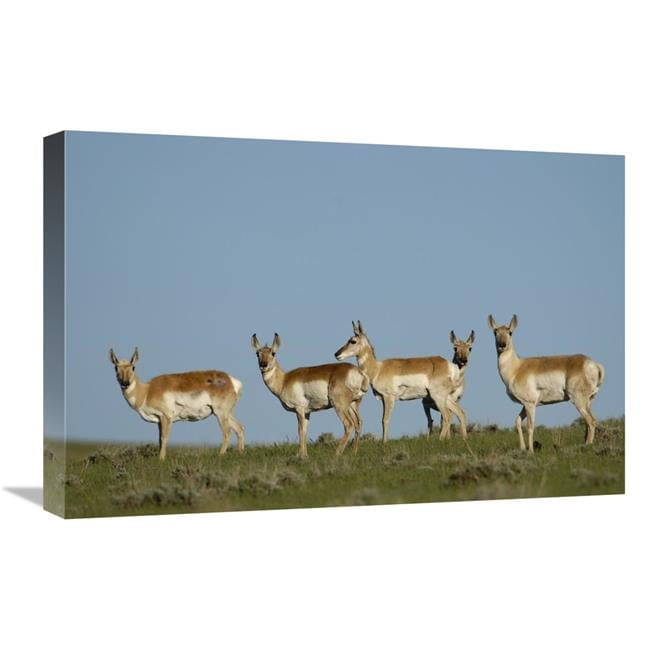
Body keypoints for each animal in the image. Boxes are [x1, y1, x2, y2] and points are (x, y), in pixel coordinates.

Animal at [109, 347, 245, 460]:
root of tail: (231, 380)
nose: (125, 383)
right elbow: (159, 439)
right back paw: (240, 453)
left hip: (220, 414)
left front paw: (161, 459)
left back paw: (220, 455)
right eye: (116, 368)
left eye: (133, 367)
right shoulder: (159, 420)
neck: (147, 391)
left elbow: (164, 438)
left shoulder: (166, 417)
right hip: (226, 413)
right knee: (239, 428)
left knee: (227, 433)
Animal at [334, 321, 467, 442]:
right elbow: (383, 420)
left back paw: (440, 440)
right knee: (460, 412)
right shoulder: (383, 399)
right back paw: (464, 438)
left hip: (438, 397)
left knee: (447, 416)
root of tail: (449, 365)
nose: (336, 354)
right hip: (446, 398)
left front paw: (384, 443)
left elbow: (385, 420)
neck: (378, 368)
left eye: (353, 341)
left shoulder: (389, 398)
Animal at [487, 315, 605, 451]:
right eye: (495, 332)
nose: (502, 344)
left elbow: (530, 427)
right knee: (588, 422)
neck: (517, 368)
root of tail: (593, 364)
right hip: (588, 401)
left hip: (578, 400)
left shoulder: (530, 404)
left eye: (510, 332)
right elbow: (517, 422)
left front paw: (530, 451)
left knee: (591, 421)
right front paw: (523, 448)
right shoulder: (525, 404)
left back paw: (587, 446)